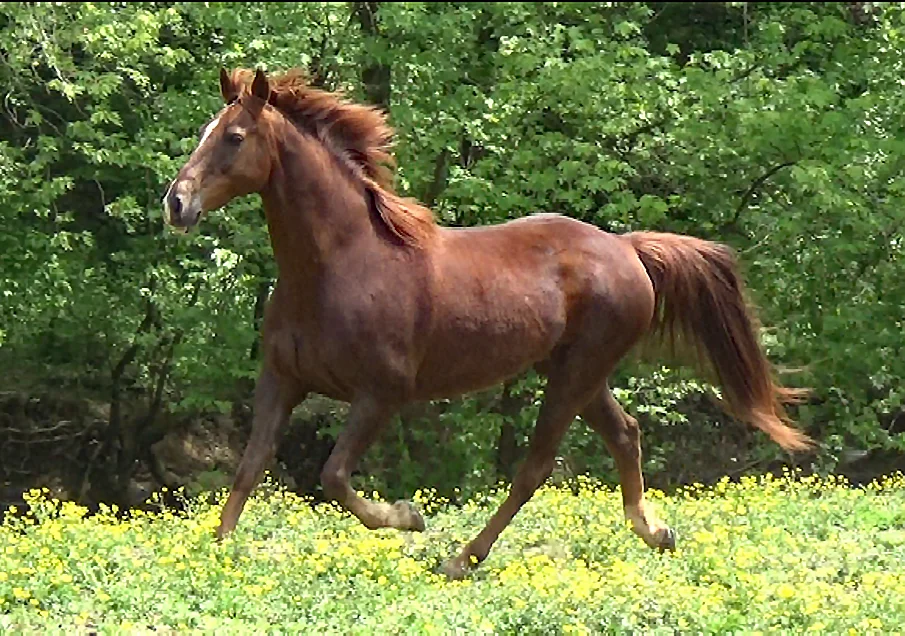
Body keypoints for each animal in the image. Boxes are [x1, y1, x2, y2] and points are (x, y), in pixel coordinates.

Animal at [162, 66, 813, 580]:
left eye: (234, 137)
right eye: (204, 132)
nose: (176, 202)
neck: (337, 264)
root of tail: (627, 248)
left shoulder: (381, 394)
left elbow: (334, 476)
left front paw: (408, 518)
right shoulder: (281, 381)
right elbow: (248, 470)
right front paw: (213, 556)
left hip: (575, 373)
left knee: (536, 465)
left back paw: (462, 558)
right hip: (576, 369)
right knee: (625, 433)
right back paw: (655, 532)